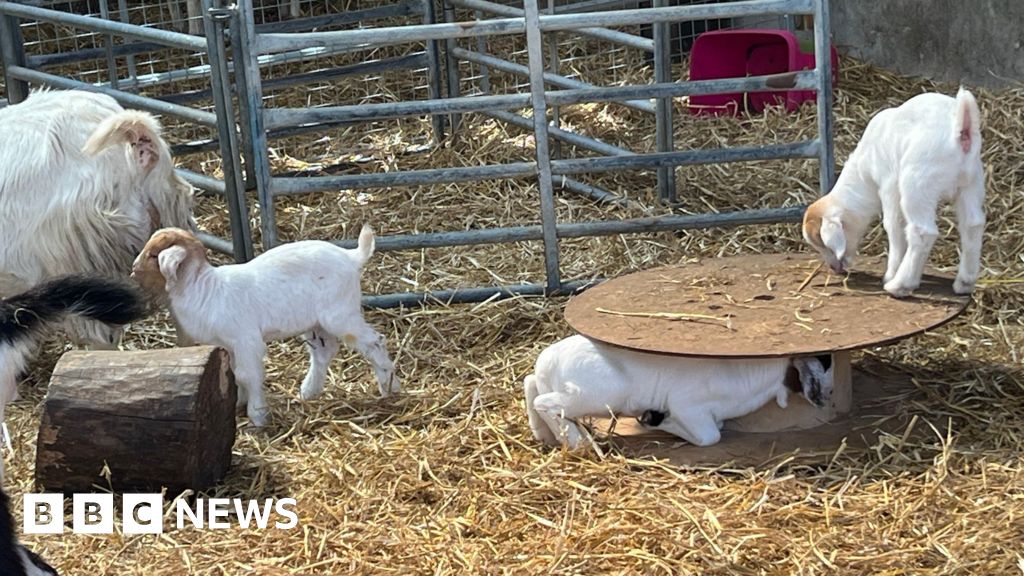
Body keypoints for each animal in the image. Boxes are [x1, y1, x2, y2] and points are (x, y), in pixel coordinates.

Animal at [131, 226, 400, 427]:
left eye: (154, 255)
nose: (133, 270)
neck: (203, 287)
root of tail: (351, 257)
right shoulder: (230, 346)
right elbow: (234, 374)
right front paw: (237, 403)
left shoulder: (246, 340)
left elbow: (247, 375)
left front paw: (257, 415)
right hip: (316, 321)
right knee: (324, 352)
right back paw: (308, 391)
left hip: (340, 314)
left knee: (375, 341)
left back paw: (389, 387)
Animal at [523, 335, 833, 449]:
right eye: (824, 360)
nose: (829, 394)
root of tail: (548, 361)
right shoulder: (688, 407)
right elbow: (710, 436)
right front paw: (655, 420)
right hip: (594, 394)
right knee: (545, 401)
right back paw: (579, 441)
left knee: (530, 383)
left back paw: (545, 435)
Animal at [802, 88, 985, 298]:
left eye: (823, 243)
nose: (834, 268)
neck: (864, 174)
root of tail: (960, 128)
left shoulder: (888, 184)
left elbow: (894, 225)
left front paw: (890, 273)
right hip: (971, 182)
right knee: (972, 224)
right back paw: (965, 282)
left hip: (917, 183)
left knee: (922, 232)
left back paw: (900, 285)